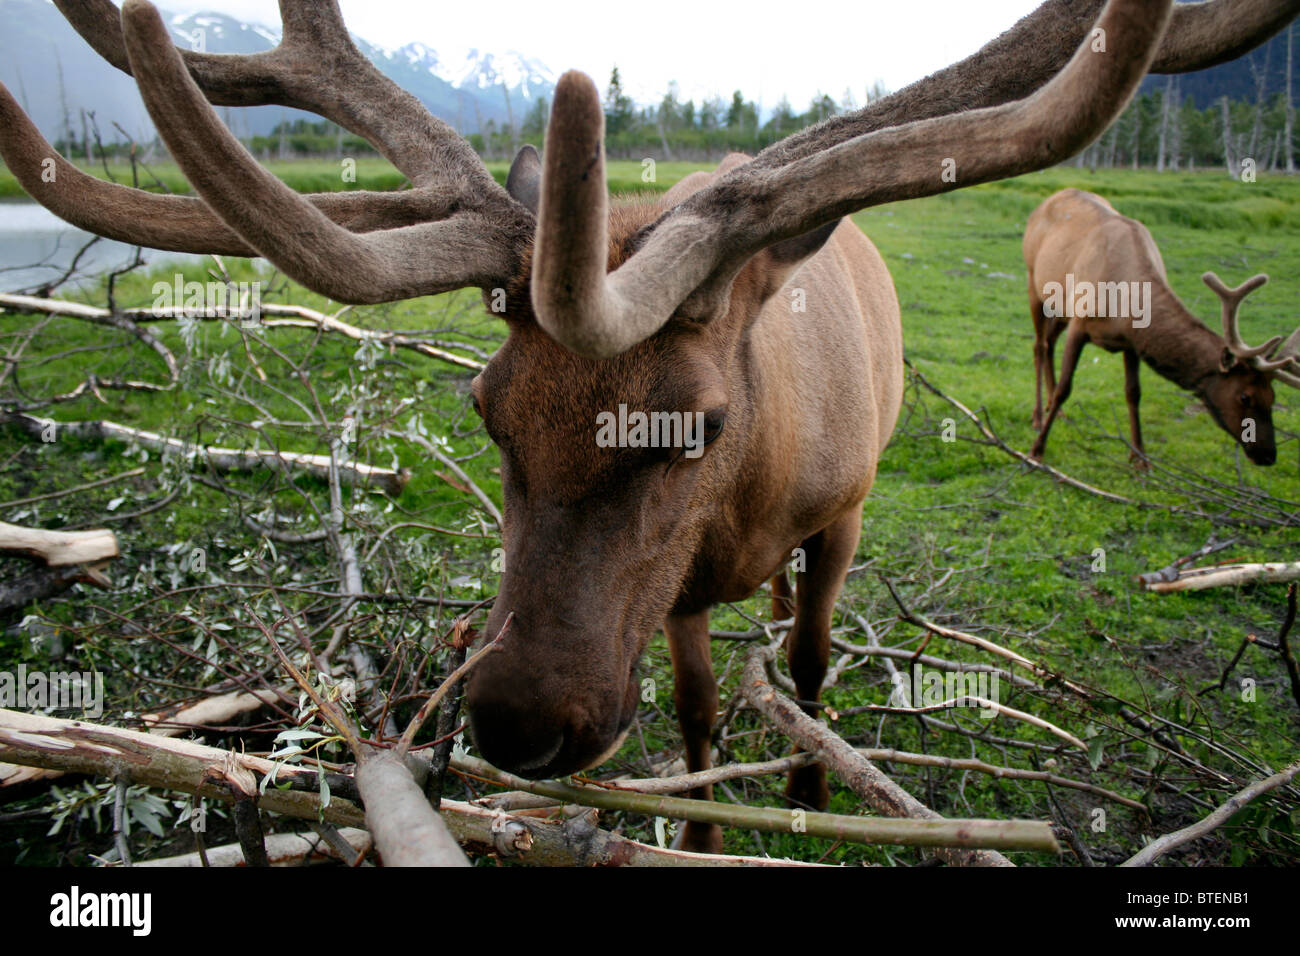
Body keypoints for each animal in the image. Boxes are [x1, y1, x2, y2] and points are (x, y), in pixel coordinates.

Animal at [1026, 189, 1300, 467]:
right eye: (1245, 396)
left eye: (1272, 397)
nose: (1268, 455)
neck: (1123, 304)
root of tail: (1047, 201)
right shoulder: (1080, 324)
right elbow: (1065, 388)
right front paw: (1037, 450)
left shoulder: (1130, 342)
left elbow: (1133, 393)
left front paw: (1140, 458)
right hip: (1034, 283)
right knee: (1039, 345)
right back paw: (1038, 415)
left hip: (1060, 306)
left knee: (1050, 342)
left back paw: (1055, 411)